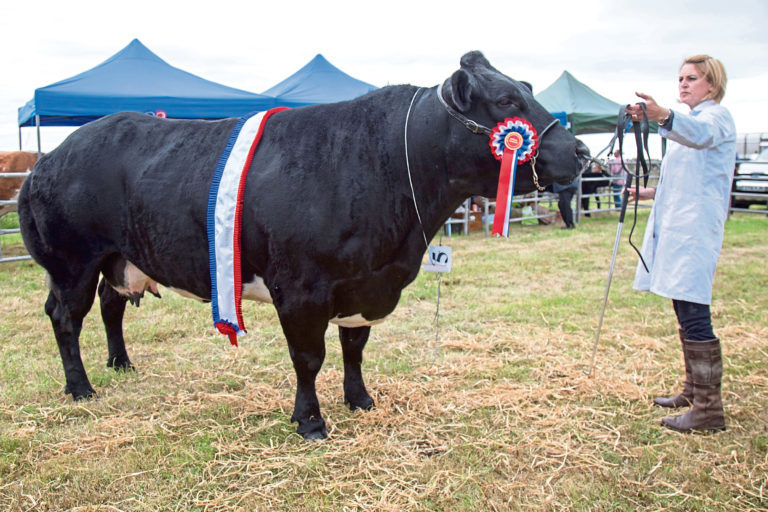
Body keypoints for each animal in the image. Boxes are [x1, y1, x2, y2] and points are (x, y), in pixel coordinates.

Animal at [18, 52, 586, 439]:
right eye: (508, 102)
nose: (580, 151)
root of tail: (50, 158)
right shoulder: (301, 288)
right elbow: (309, 357)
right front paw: (310, 422)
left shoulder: (363, 286)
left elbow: (354, 348)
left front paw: (361, 401)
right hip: (71, 261)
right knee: (66, 317)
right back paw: (81, 388)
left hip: (118, 257)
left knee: (111, 305)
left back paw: (120, 364)